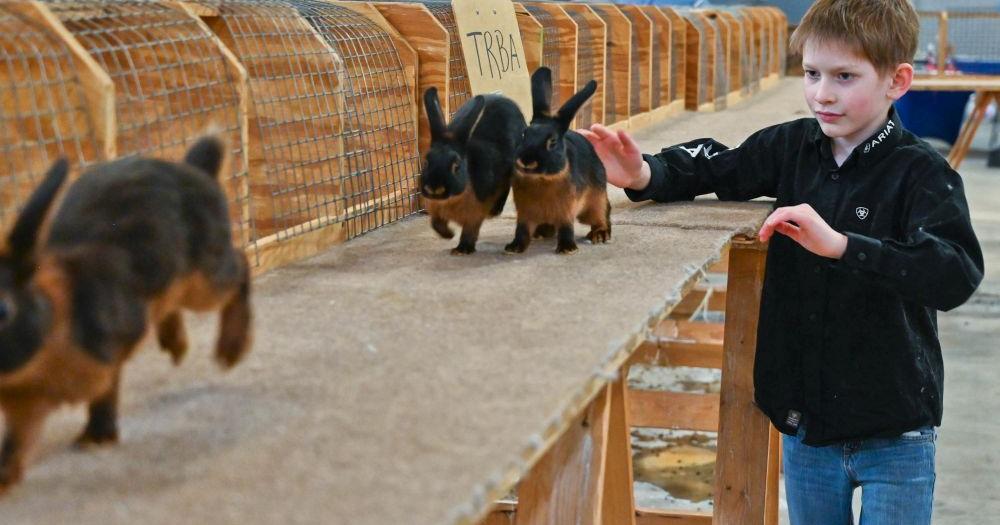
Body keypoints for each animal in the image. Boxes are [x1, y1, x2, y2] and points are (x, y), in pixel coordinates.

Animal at [0, 136, 252, 494]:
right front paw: (5, 477)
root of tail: (194, 171)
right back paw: (176, 345)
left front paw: (97, 438)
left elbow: (107, 389)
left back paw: (231, 350)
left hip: (204, 278)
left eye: (3, 310)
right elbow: (16, 443)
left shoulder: (111, 347)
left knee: (240, 266)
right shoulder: (25, 406)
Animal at [421, 86, 526, 254]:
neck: (452, 199)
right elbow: (436, 224)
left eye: (456, 166)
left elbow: (470, 231)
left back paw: (494, 212)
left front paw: (462, 249)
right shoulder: (435, 210)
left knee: (505, 187)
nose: (434, 189)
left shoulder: (475, 212)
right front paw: (449, 235)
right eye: (425, 162)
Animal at [505, 67, 611, 255]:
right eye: (524, 134)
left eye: (552, 142)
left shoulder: (566, 211)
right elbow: (521, 231)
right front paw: (514, 247)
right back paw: (541, 233)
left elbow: (566, 228)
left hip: (596, 199)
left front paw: (567, 249)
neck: (541, 179)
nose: (526, 161)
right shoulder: (524, 214)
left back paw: (600, 234)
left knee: (602, 214)